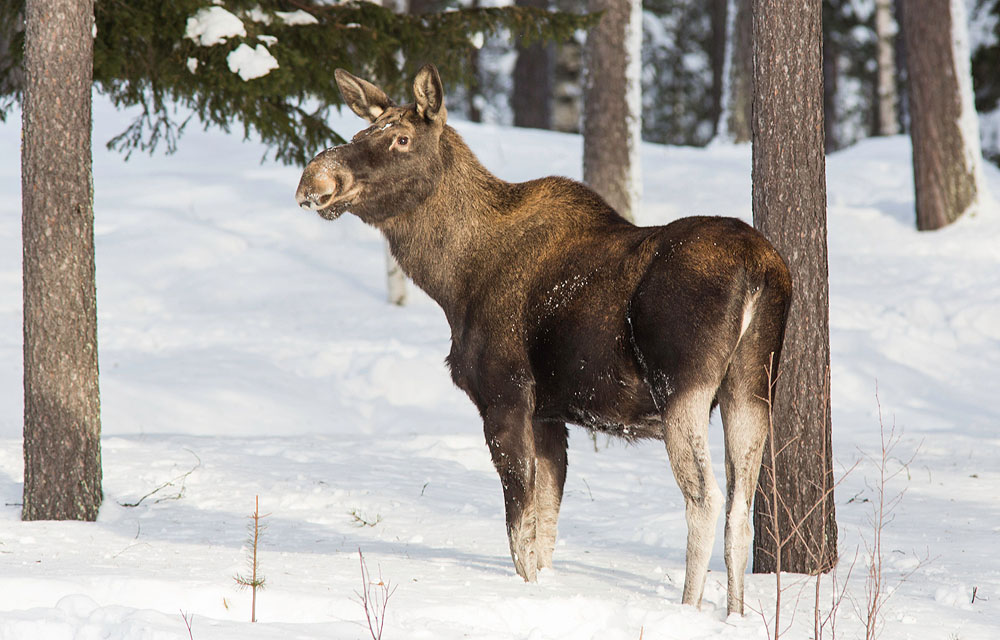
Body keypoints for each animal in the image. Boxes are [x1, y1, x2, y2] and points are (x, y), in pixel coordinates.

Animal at [295, 64, 792, 616]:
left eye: (401, 138)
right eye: (361, 133)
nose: (316, 179)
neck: (453, 281)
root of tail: (759, 271)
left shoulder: (505, 395)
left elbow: (520, 530)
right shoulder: (550, 414)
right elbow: (547, 528)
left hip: (683, 387)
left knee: (705, 500)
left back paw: (687, 609)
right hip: (751, 384)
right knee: (741, 508)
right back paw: (736, 615)